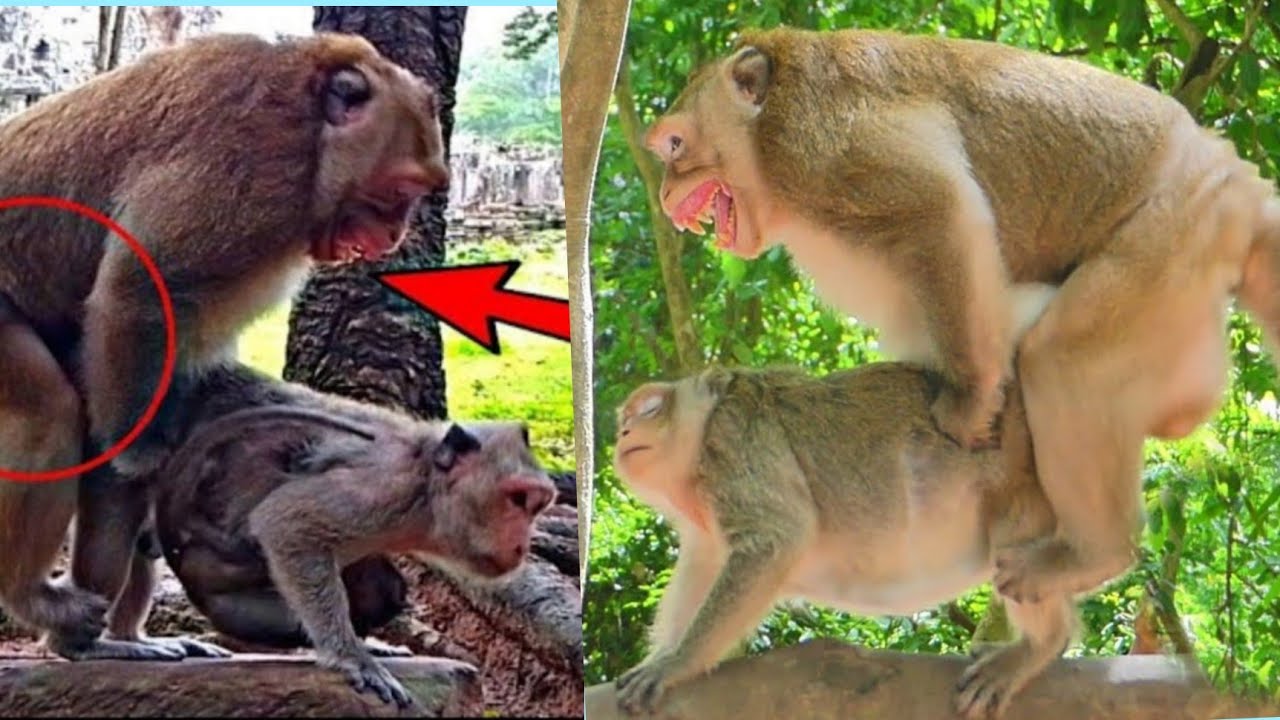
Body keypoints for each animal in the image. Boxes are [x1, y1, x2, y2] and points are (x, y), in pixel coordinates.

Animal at [0, 32, 449, 661]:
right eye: (399, 191)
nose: (396, 234)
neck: (311, 128)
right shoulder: (254, 174)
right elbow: (138, 289)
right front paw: (136, 456)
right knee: (48, 411)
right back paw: (44, 607)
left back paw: (118, 637)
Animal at [141, 393, 557, 706]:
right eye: (517, 500)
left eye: (537, 504)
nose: (522, 545)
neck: (427, 487)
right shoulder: (383, 489)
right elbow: (285, 521)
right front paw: (350, 657)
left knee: (381, 589)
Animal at [644, 26, 1280, 605]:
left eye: (675, 145)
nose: (666, 193)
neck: (766, 135)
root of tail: (1237, 180)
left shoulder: (822, 149)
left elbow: (941, 208)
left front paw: (971, 399)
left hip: (1176, 227)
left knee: (1064, 358)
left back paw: (1092, 553)